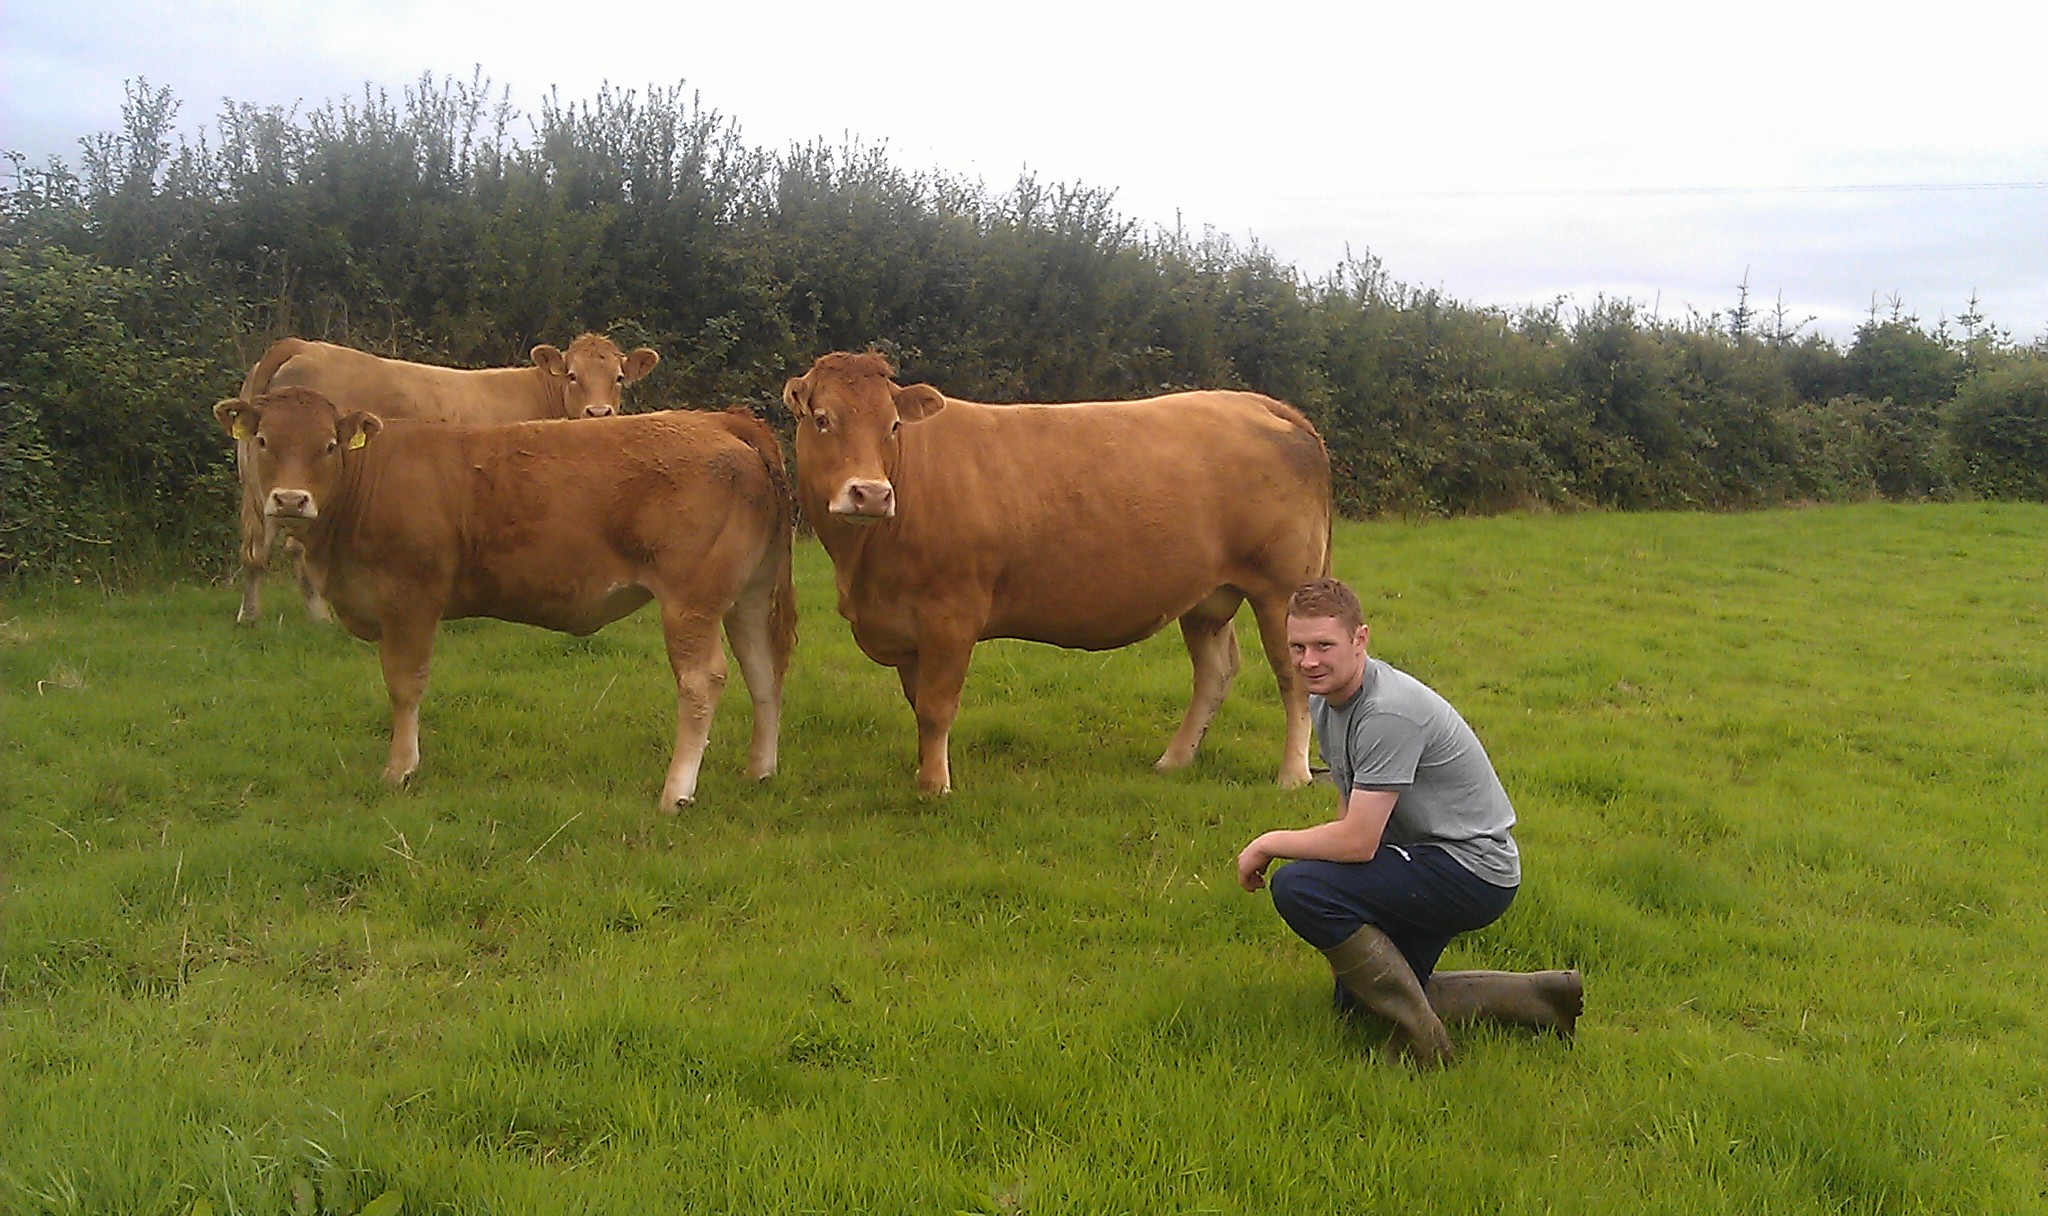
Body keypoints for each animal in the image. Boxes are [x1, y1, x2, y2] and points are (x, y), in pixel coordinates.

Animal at [213, 385, 793, 810]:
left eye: (328, 446)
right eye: (262, 441)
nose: (291, 499)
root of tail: (718, 420)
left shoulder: (410, 598)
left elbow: (404, 685)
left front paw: (399, 769)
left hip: (690, 601)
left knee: (702, 680)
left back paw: (677, 792)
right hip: (746, 594)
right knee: (762, 671)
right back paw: (760, 771)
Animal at [228, 334, 661, 624]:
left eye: (619, 377)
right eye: (572, 375)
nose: (599, 413)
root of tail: (300, 344)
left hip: (261, 482)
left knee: (254, 550)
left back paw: (250, 616)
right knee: (294, 548)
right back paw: (320, 617)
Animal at [782, 351, 1332, 795]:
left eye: (893, 425)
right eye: (822, 419)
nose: (871, 494)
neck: (862, 564)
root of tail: (1257, 404)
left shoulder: (952, 615)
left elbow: (938, 707)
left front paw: (935, 787)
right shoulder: (906, 625)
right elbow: (920, 705)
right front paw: (924, 773)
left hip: (1283, 588)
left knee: (1293, 679)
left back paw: (1292, 774)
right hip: (1208, 596)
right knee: (1215, 672)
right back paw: (1174, 761)